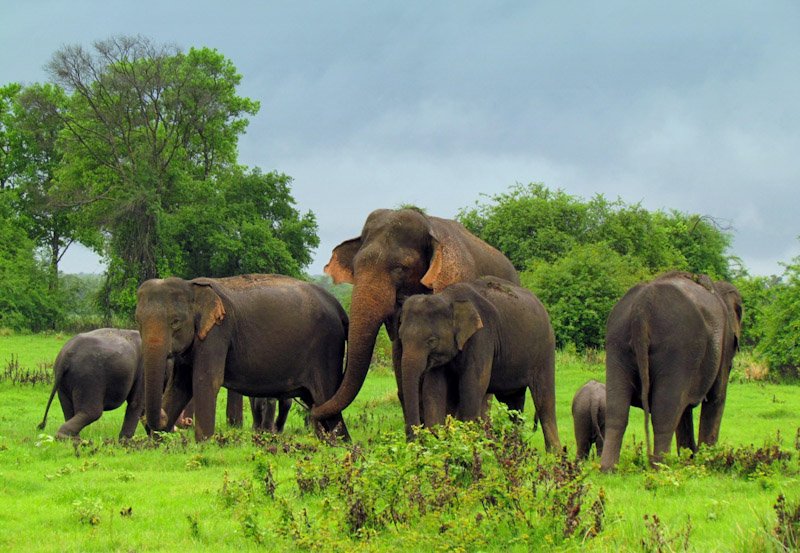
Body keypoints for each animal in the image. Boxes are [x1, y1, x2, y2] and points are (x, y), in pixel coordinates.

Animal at [135, 274, 350, 441]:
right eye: (138, 321)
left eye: (175, 322)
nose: (164, 418)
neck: (191, 286)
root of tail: (338, 306)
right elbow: (180, 385)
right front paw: (157, 443)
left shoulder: (218, 331)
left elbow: (206, 381)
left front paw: (203, 444)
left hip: (326, 350)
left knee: (326, 398)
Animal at [396, 277, 561, 451]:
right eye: (400, 337)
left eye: (432, 341)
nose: (413, 442)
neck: (448, 297)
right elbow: (434, 390)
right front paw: (439, 444)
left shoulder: (482, 337)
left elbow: (472, 386)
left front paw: (466, 446)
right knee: (513, 402)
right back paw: (515, 448)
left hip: (545, 349)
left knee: (544, 400)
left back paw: (554, 454)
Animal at [600, 271, 743, 472]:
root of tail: (641, 308)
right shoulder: (726, 341)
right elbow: (716, 398)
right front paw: (706, 462)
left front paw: (690, 459)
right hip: (678, 347)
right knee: (664, 412)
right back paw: (661, 467)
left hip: (616, 342)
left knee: (617, 409)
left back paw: (608, 469)